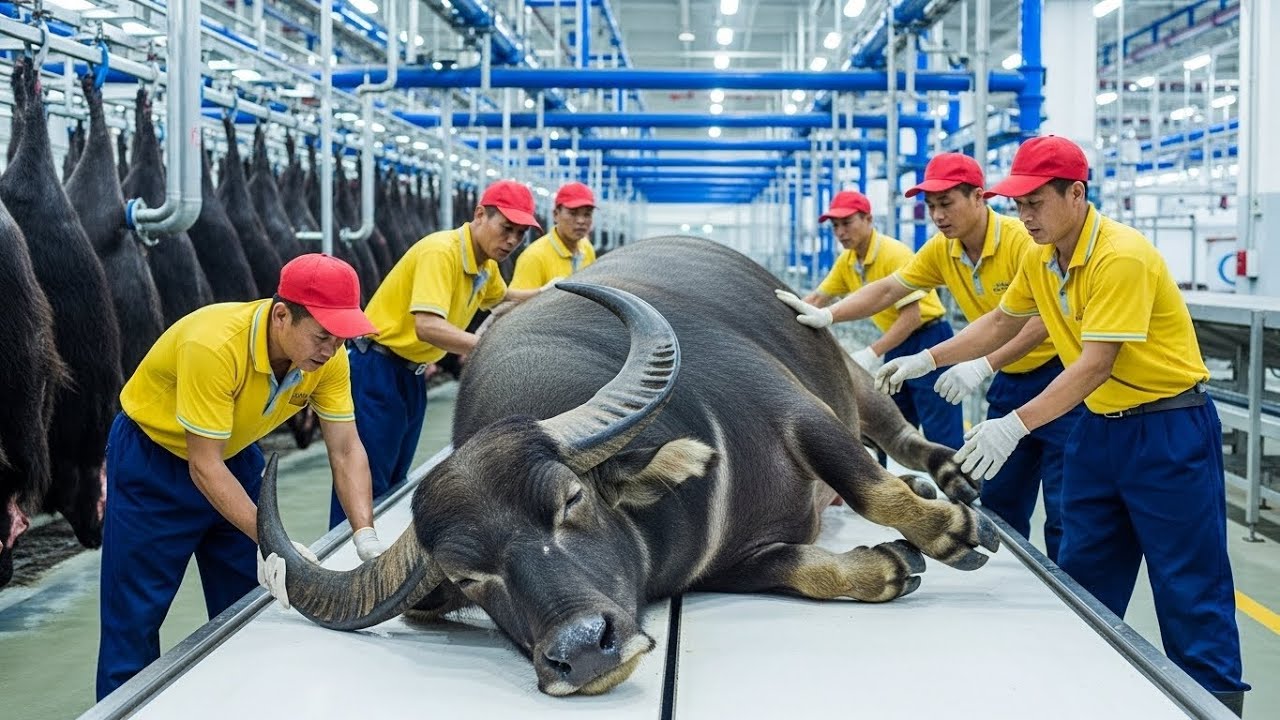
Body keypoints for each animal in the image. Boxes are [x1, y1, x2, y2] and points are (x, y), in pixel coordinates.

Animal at [260, 236, 999, 697]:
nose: (585, 647)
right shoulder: (733, 561)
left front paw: (951, 532)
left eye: (570, 500)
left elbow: (867, 484)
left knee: (895, 437)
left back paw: (947, 476)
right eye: (467, 577)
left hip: (854, 378)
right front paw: (885, 566)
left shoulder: (798, 408)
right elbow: (804, 570)